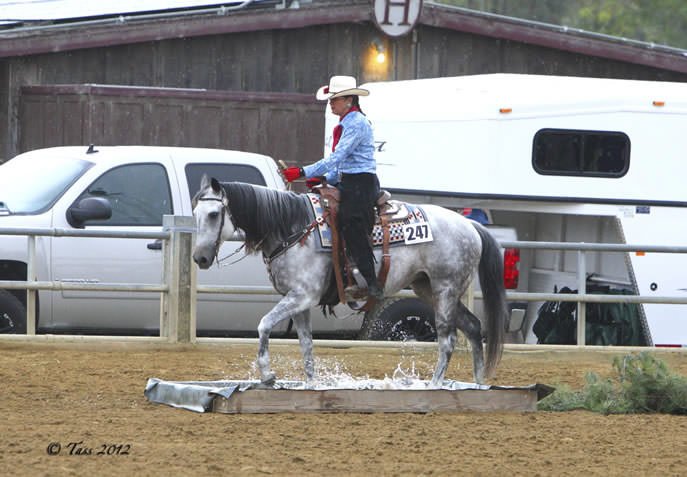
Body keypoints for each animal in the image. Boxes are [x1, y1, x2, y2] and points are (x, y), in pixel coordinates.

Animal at [192, 174, 507, 386]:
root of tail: (470, 225)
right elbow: (306, 344)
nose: (200, 258)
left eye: (214, 213)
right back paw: (479, 384)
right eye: (195, 213)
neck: (293, 227)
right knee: (473, 326)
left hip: (445, 289)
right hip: (427, 288)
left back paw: (435, 385)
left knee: (448, 339)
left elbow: (264, 325)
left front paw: (268, 375)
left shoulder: (302, 296)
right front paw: (310, 385)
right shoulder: (299, 301)